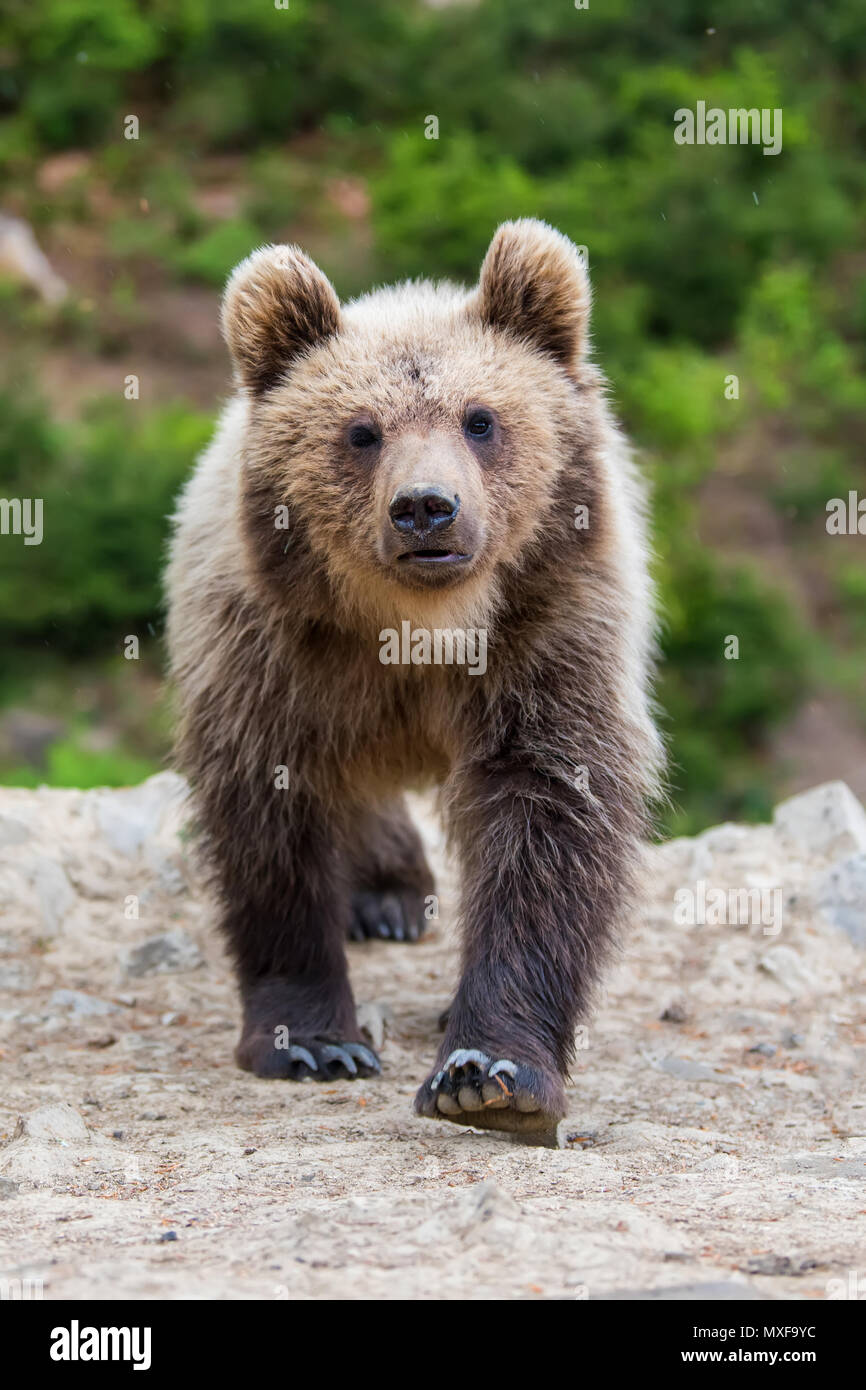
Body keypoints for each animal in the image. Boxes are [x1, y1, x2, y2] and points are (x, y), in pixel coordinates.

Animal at [165, 219, 662, 1133]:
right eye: (361, 431)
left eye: (481, 419)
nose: (426, 507)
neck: (421, 631)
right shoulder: (270, 649)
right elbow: (268, 818)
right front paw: (312, 1041)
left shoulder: (551, 633)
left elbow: (549, 813)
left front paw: (488, 1070)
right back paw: (384, 892)